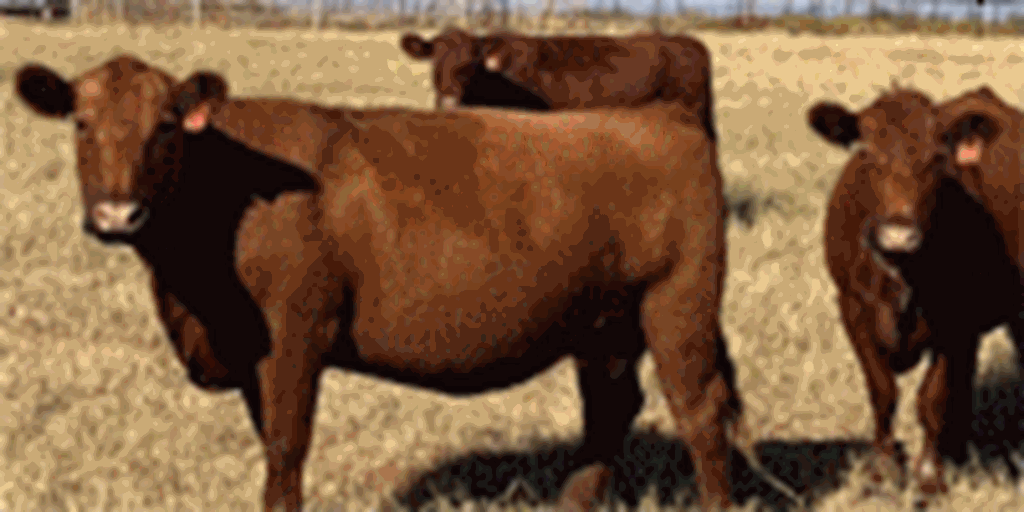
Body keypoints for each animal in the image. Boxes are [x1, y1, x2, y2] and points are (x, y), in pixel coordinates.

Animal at [16, 56, 743, 512]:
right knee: (610, 409)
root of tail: (660, 119)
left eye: (165, 125)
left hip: (679, 305)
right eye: (80, 123)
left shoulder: (294, 333)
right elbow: (270, 442)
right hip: (603, 324)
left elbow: (285, 448)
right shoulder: (250, 352)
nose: (117, 215)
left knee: (700, 411)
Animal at [807, 82, 1023, 503]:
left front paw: (929, 477)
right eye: (867, 152)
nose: (898, 234)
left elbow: (932, 399)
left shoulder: (956, 324)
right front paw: (882, 472)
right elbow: (883, 393)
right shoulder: (852, 309)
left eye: (937, 158)